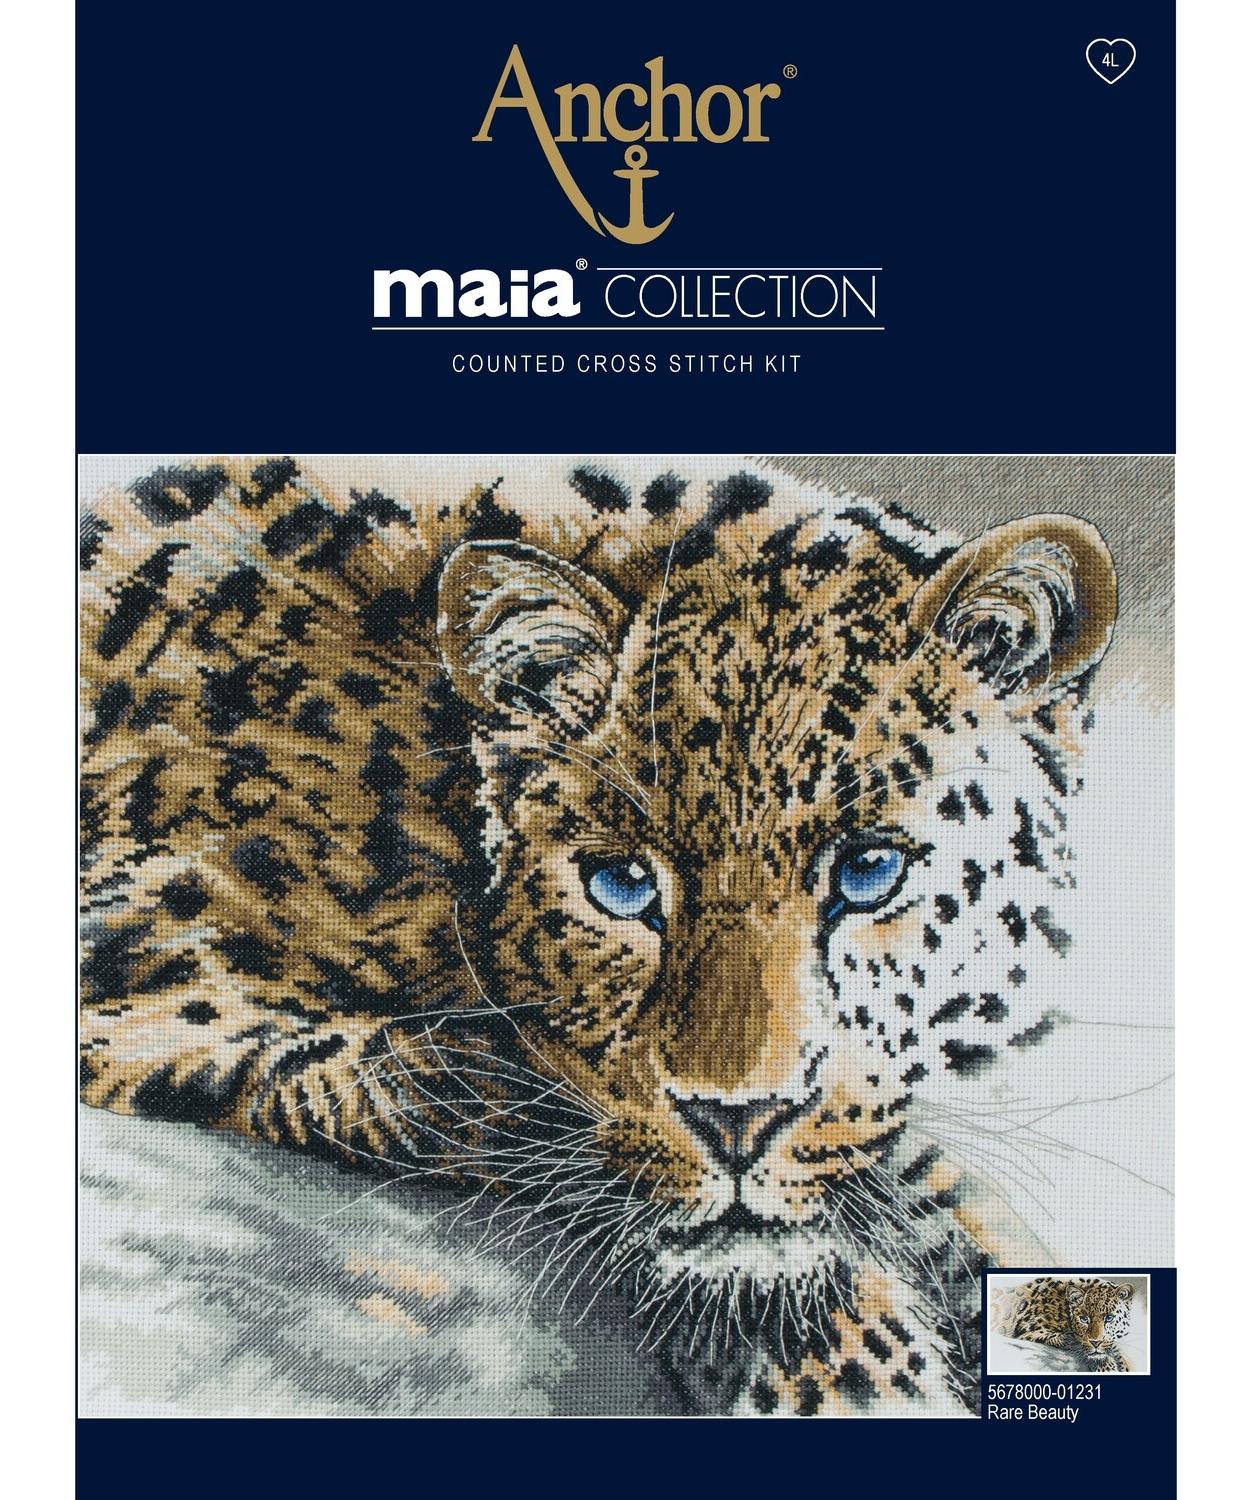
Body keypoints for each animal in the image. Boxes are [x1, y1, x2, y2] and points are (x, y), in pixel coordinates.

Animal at [79, 454, 1118, 1416]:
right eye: (622, 884)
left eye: (868, 871)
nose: (736, 1122)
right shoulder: (146, 969)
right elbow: (501, 1099)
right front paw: (871, 1368)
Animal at [993, 1278, 1135, 1372]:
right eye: (1084, 1319)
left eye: (1109, 1317)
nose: (1096, 1342)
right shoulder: (1028, 1330)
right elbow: (1076, 1343)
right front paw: (1109, 1366)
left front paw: (1123, 1362)